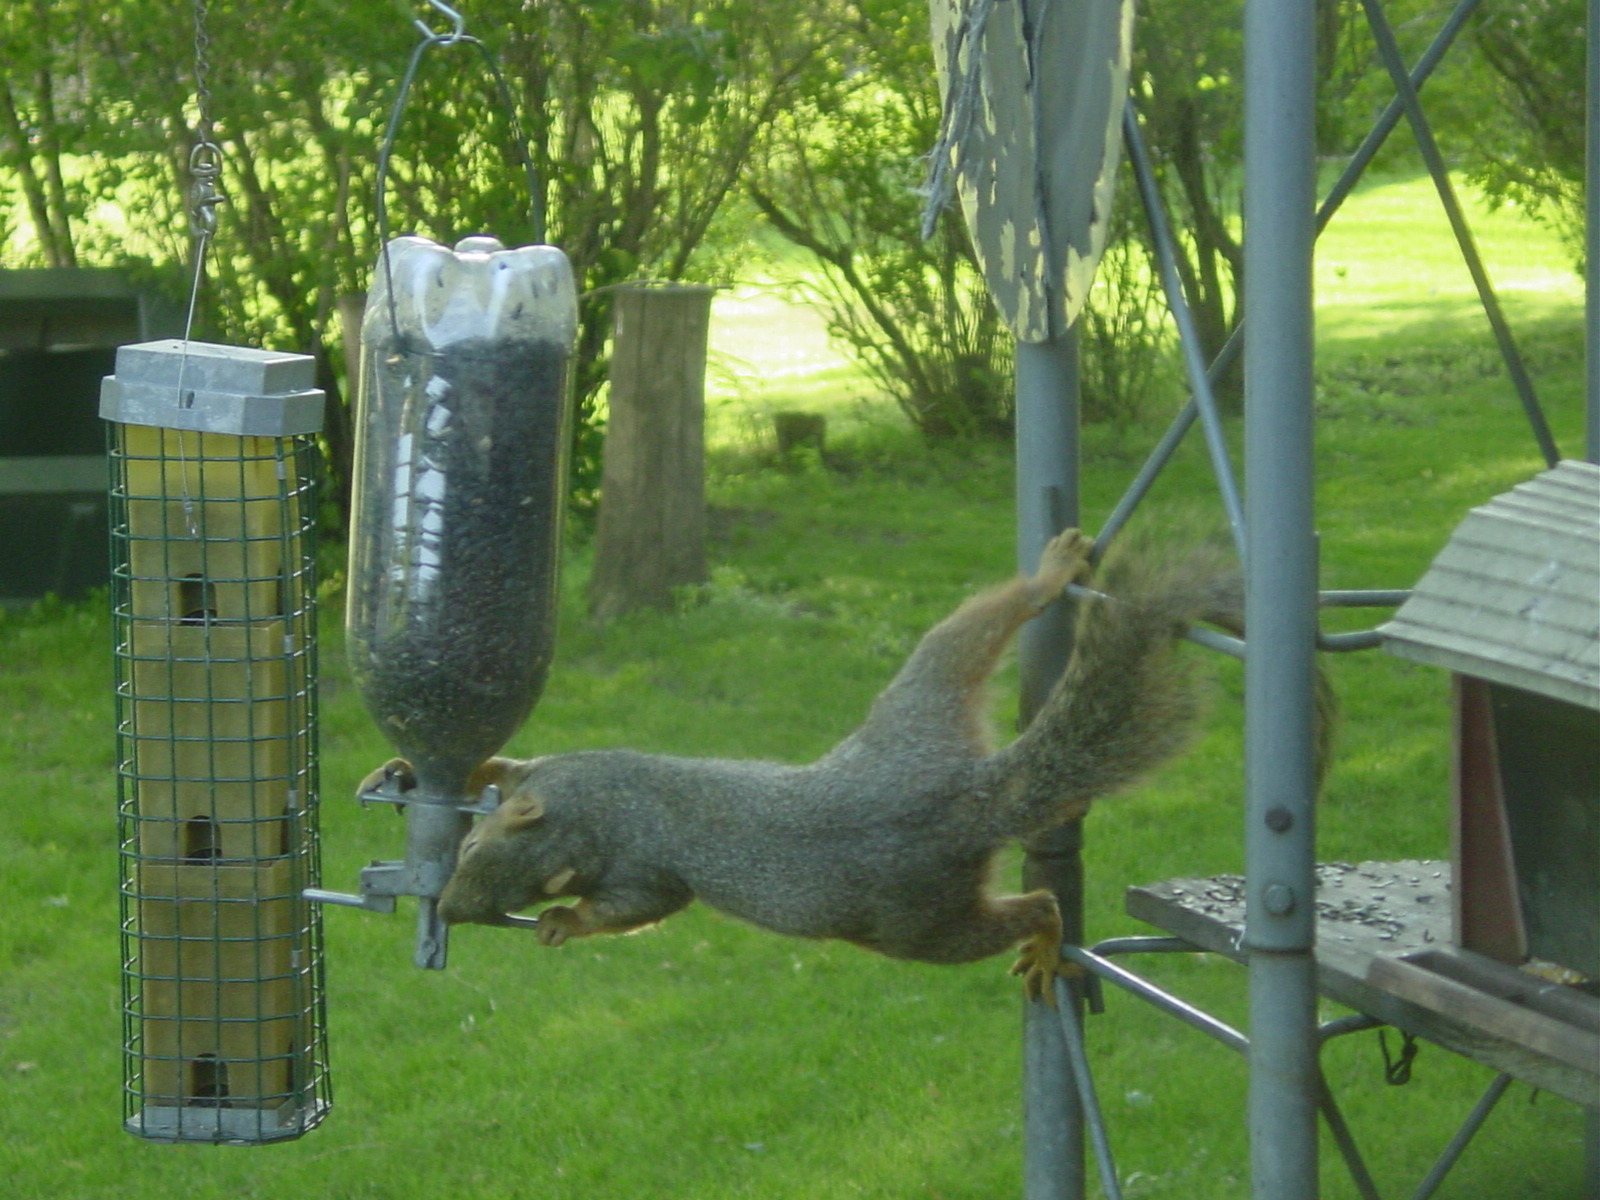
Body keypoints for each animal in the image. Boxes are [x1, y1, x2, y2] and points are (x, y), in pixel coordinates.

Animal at [363, 527, 1285, 999]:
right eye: (471, 854)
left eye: (498, 882)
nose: (451, 908)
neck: (588, 813)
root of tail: (968, 797)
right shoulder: (561, 770)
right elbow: (505, 768)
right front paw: (434, 771)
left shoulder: (637, 861)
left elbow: (641, 904)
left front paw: (569, 923)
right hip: (924, 698)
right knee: (976, 631)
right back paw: (1047, 577)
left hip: (919, 921)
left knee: (1027, 909)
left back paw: (1047, 932)